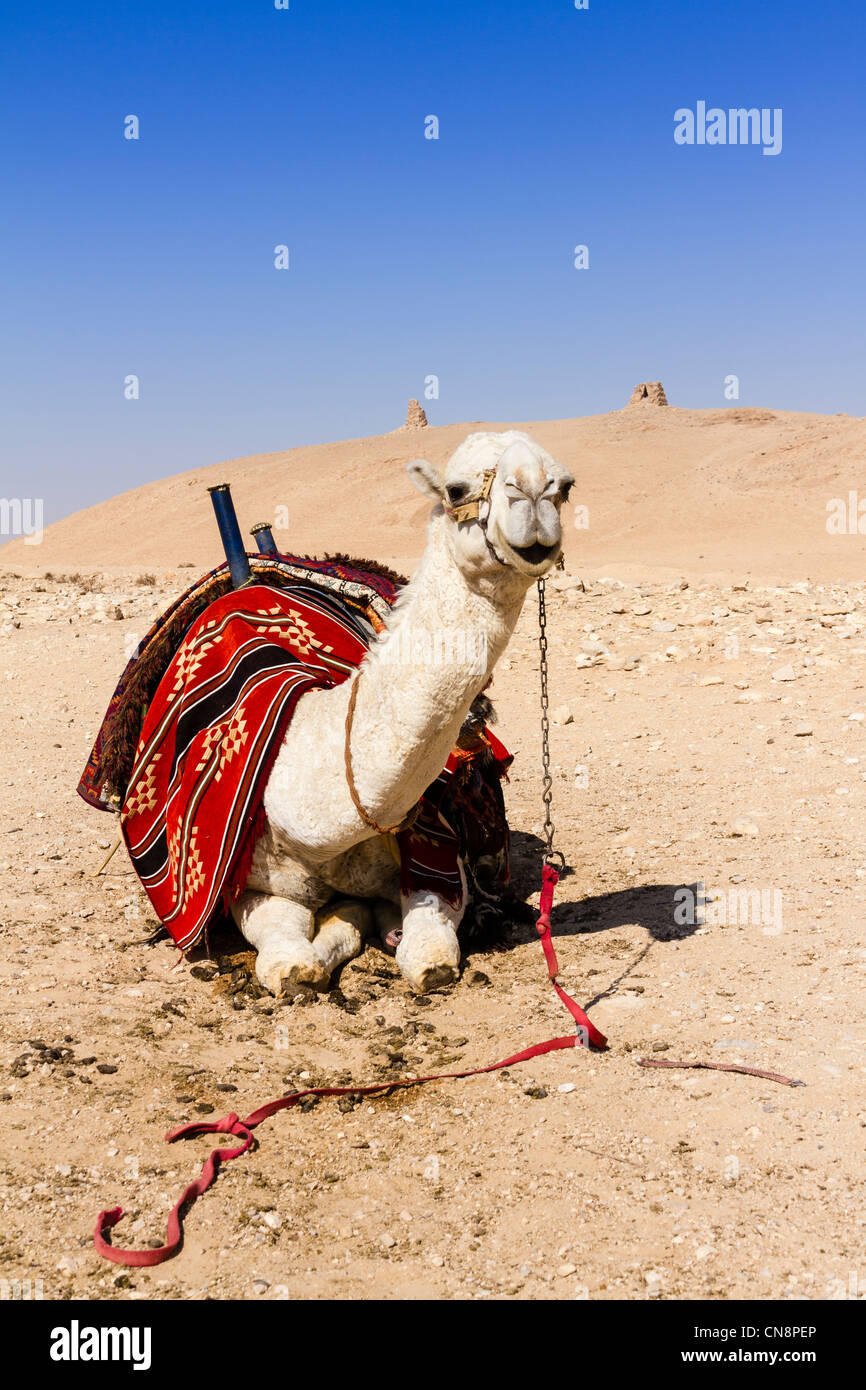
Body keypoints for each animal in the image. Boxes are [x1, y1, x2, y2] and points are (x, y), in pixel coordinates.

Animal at [231, 430, 574, 995]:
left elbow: (431, 948)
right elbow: (282, 946)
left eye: (565, 485)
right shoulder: (245, 887)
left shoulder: (437, 854)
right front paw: (300, 968)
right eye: (456, 490)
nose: (533, 492)